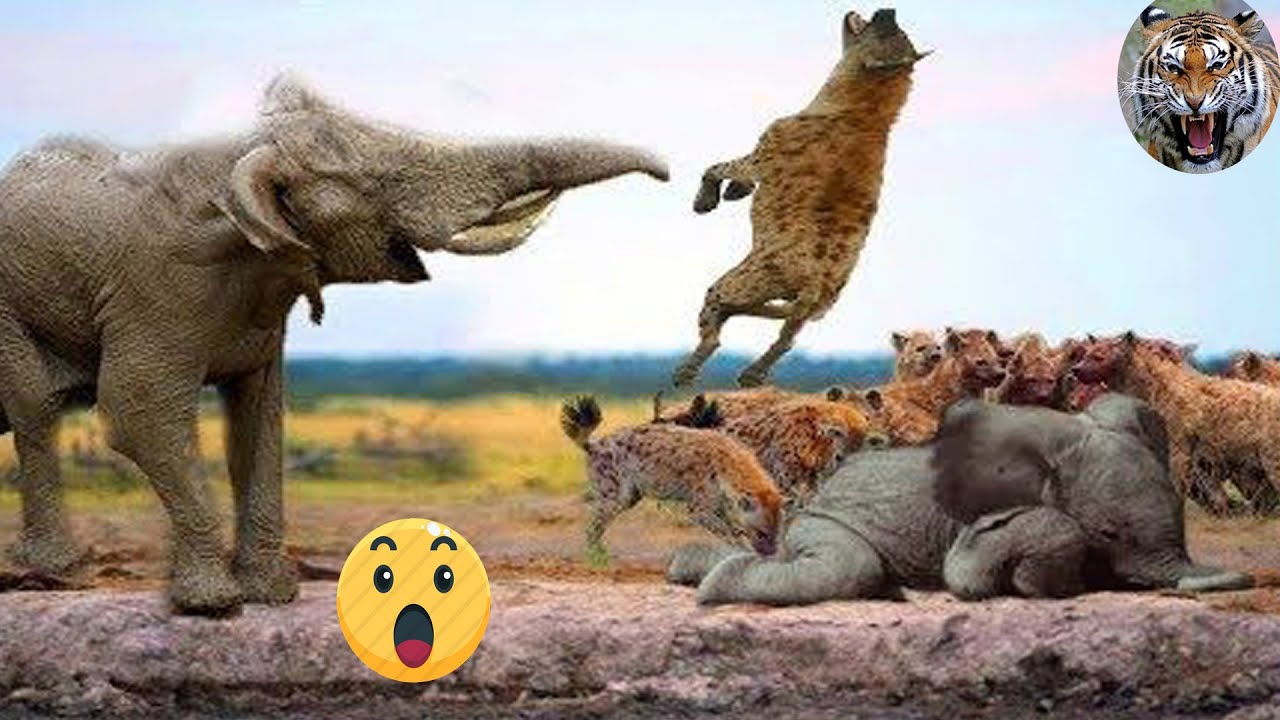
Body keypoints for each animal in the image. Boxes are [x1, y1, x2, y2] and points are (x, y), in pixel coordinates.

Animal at [0, 75, 668, 614]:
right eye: (375, 182)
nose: (668, 175)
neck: (242, 154)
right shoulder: (160, 286)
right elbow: (137, 414)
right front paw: (213, 606)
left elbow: (258, 422)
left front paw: (273, 594)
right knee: (35, 408)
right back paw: (62, 571)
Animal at [669, 394, 1253, 605]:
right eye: (1110, 532)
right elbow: (968, 567)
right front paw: (1035, 586)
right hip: (828, 523)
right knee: (847, 566)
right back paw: (714, 586)